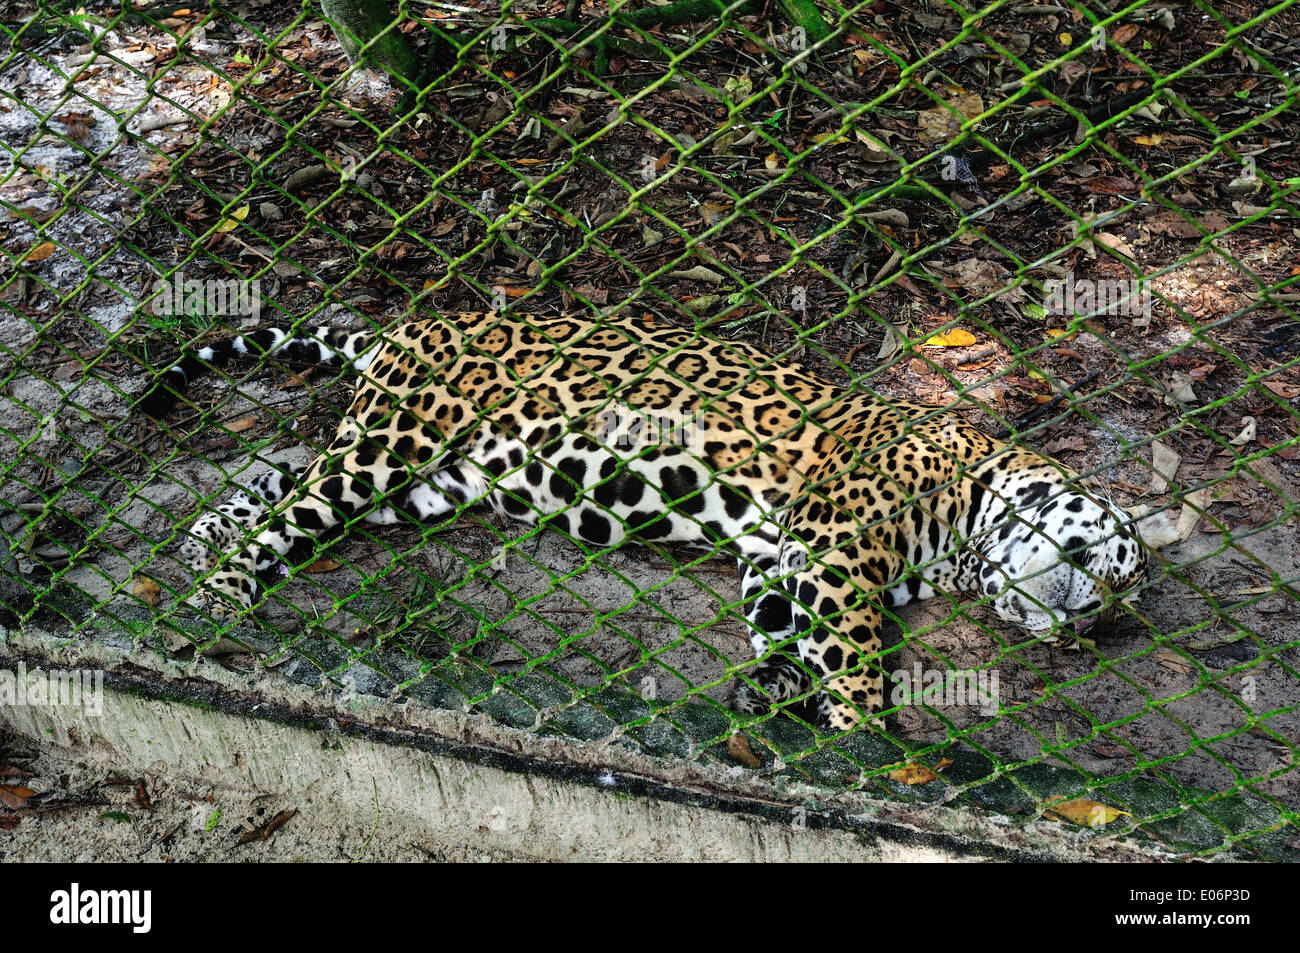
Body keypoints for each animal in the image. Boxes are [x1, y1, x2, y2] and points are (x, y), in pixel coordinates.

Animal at [140, 308, 1151, 731]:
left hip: (426, 481)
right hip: (396, 441)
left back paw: (206, 537)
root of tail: (411, 323)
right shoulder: (836, 549)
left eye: (1110, 614)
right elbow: (858, 655)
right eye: (1114, 566)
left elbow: (778, 629)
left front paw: (774, 691)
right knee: (301, 500)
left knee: (288, 481)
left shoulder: (780, 556)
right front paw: (863, 736)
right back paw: (221, 585)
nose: (1087, 623)